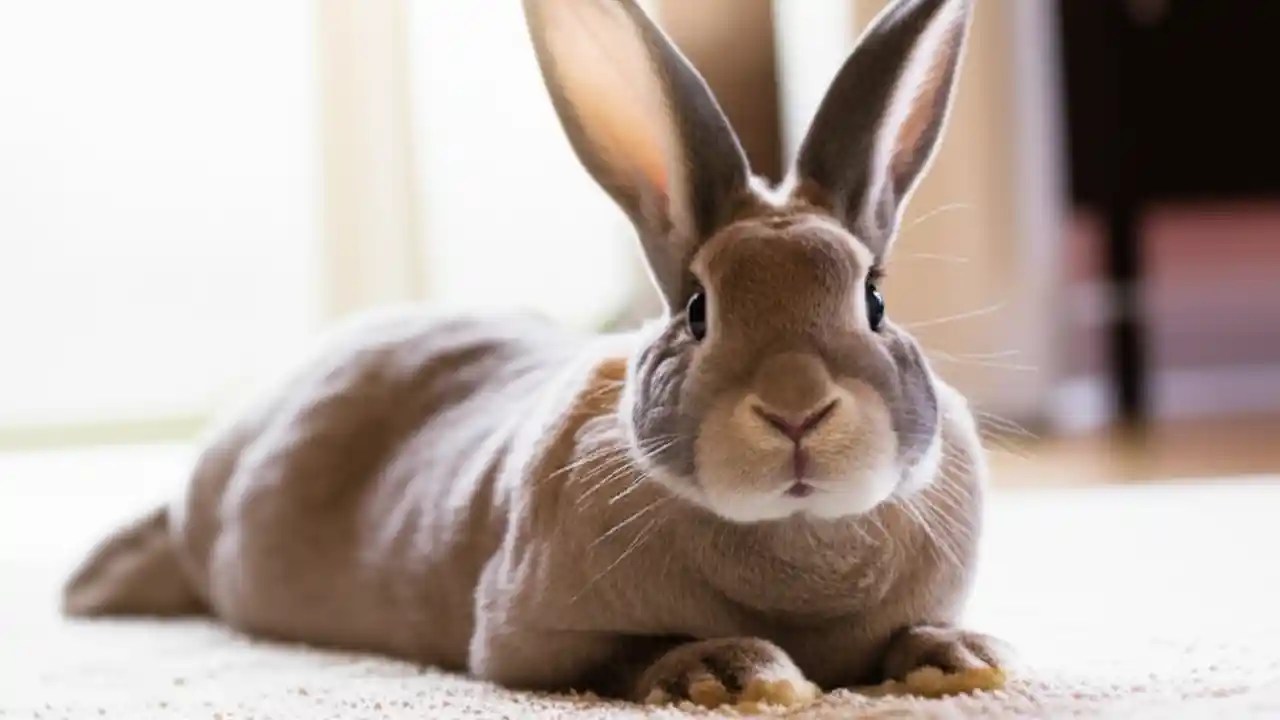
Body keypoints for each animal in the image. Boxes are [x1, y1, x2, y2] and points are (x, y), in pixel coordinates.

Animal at [63, 0, 1011, 706]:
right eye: (697, 310)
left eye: (875, 301)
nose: (796, 408)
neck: (795, 536)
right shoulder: (530, 640)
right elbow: (629, 655)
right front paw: (735, 673)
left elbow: (915, 634)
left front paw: (962, 658)